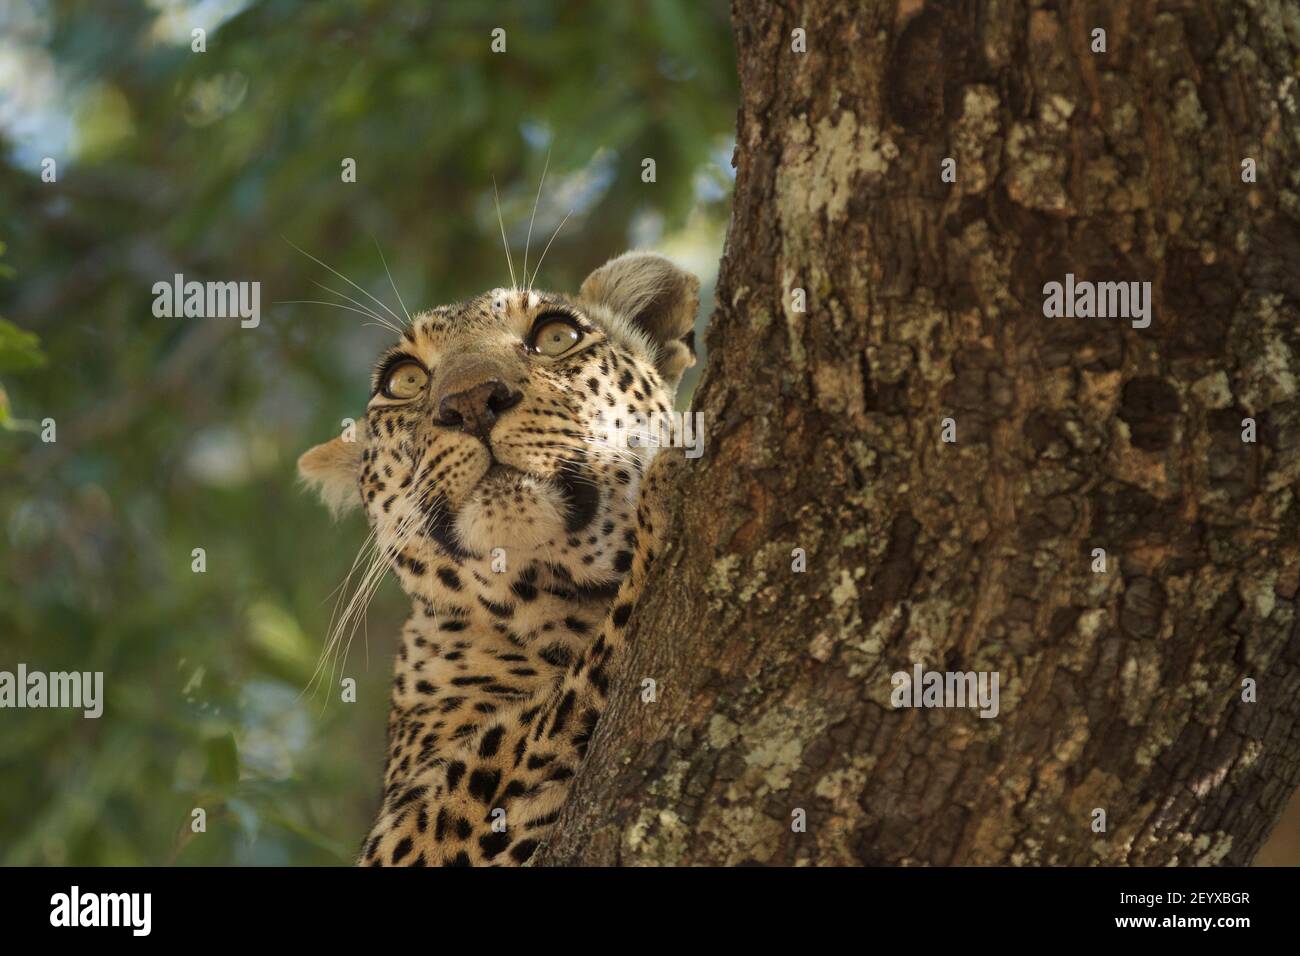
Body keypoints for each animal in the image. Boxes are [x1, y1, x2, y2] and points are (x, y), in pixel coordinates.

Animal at [298, 251, 699, 865]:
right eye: (405, 379)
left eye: (556, 336)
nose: (469, 401)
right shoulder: (401, 837)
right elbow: (548, 712)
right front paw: (667, 481)